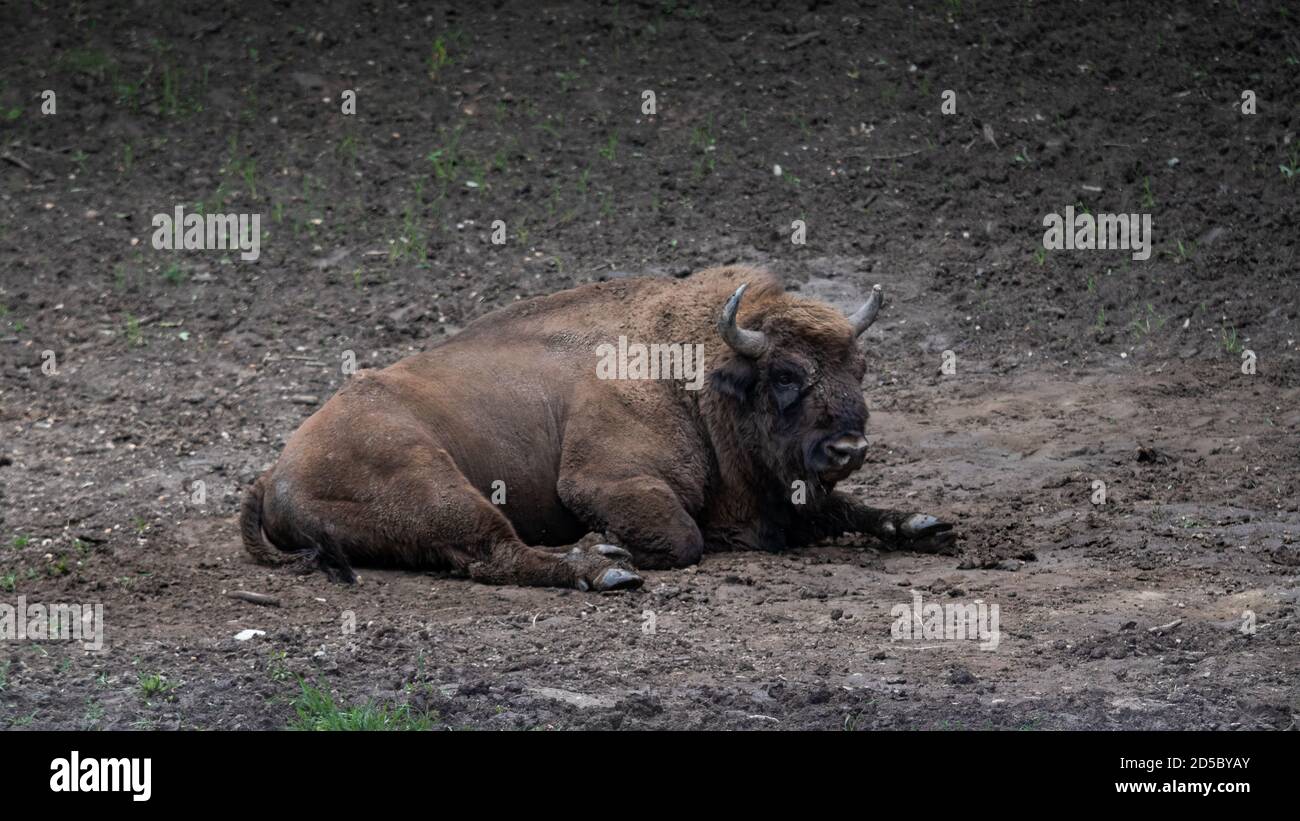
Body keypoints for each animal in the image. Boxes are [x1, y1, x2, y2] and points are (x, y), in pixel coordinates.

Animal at [241, 265, 954, 590]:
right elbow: (684, 537)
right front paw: (613, 542)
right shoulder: (607, 480)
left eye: (860, 367)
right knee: (494, 552)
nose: (848, 447)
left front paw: (925, 526)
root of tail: (275, 470)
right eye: (784, 374)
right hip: (430, 482)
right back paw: (603, 567)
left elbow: (845, 509)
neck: (692, 375)